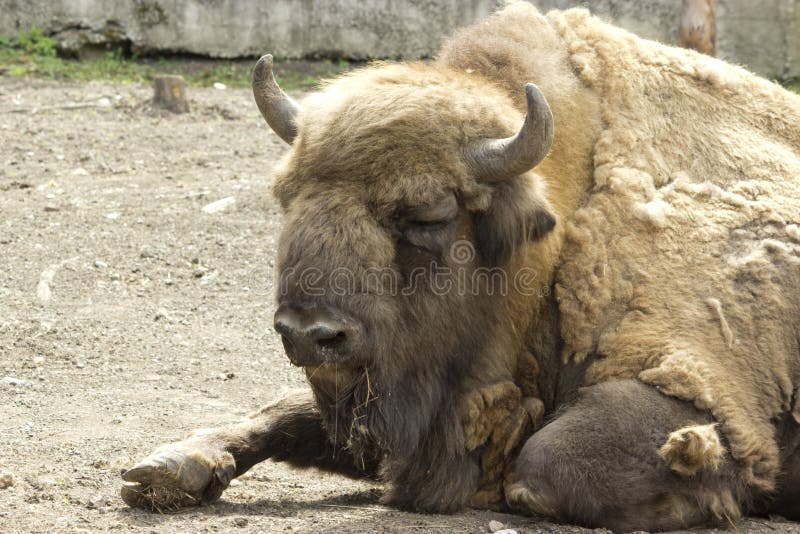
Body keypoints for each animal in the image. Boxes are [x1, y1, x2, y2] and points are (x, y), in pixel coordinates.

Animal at [121, 2, 800, 531]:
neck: (557, 232)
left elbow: (548, 464)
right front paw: (166, 468)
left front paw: (712, 496)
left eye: (427, 215)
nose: (309, 333)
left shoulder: (702, 383)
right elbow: (282, 412)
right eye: (286, 196)